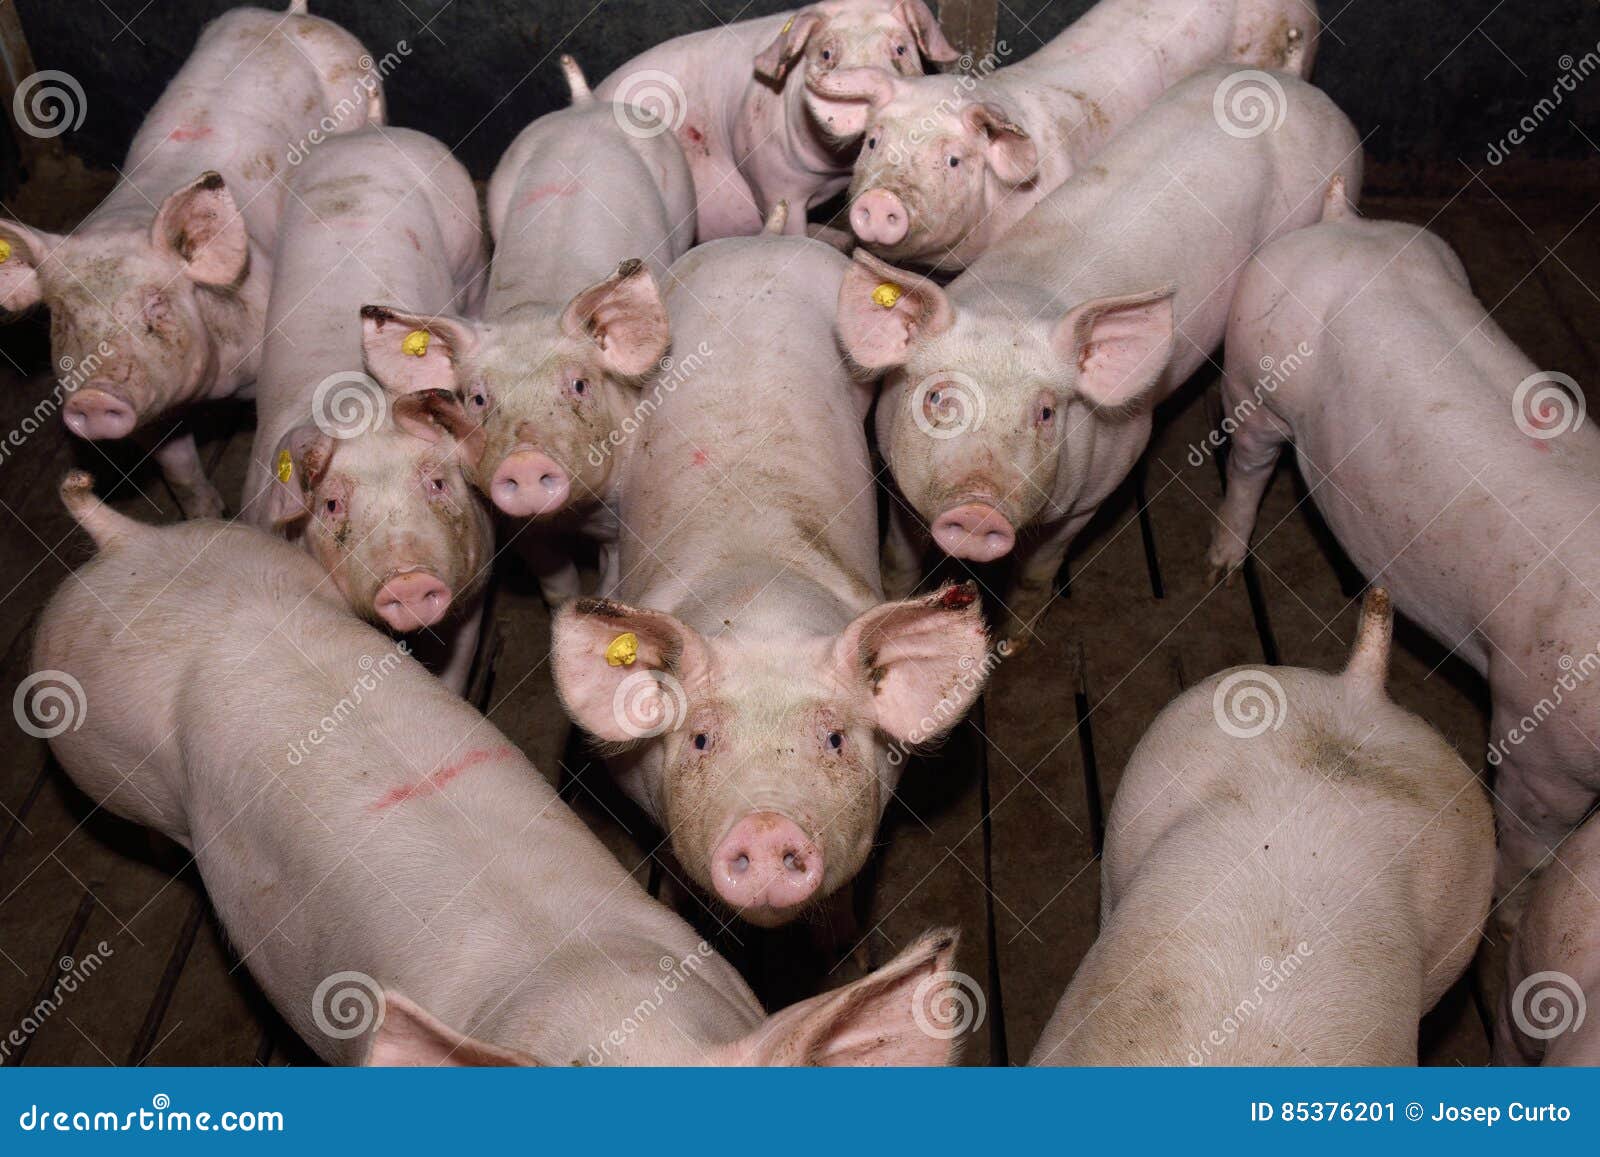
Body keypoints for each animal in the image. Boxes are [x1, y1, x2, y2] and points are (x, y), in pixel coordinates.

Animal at [0, 2, 383, 517]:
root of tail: (289, 15)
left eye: (156, 306)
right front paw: (206, 517)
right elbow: (177, 468)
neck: (212, 389)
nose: (96, 396)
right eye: (63, 317)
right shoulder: (154, 415)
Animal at [239, 126, 491, 694]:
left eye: (437, 482)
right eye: (332, 504)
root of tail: (368, 133)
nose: (409, 578)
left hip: (469, 247)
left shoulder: (476, 588)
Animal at [360, 57, 693, 606]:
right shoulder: (518, 528)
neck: (573, 517)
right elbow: (555, 581)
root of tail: (586, 106)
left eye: (579, 385)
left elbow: (611, 578)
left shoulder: (619, 512)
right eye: (477, 398)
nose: (524, 459)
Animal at [836, 67, 1361, 648]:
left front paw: (1015, 643)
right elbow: (898, 558)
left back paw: (1217, 575)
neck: (1013, 303)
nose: (978, 508)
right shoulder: (894, 471)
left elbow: (1040, 568)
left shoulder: (1101, 483)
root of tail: (1309, 94)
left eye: (1046, 413)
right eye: (936, 399)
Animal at [1204, 210, 1600, 997]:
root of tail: (1338, 222)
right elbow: (1529, 841)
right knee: (1247, 466)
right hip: (1253, 376)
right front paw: (1507, 924)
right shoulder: (1540, 744)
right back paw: (1221, 569)